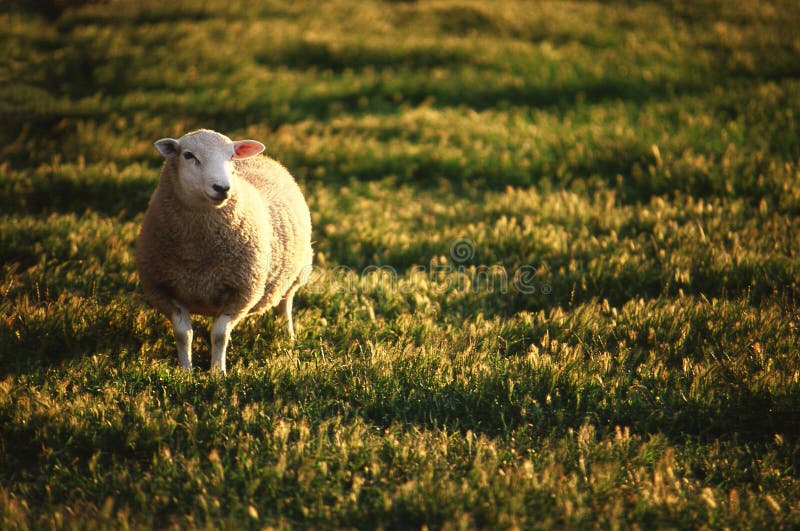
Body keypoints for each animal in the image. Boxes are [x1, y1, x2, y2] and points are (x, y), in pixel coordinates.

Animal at [136, 129, 312, 374]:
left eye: (231, 156)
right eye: (188, 155)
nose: (222, 188)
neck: (198, 252)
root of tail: (264, 158)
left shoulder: (242, 291)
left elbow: (219, 335)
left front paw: (218, 372)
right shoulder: (160, 289)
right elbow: (183, 334)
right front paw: (185, 370)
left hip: (297, 272)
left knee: (285, 303)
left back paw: (287, 337)